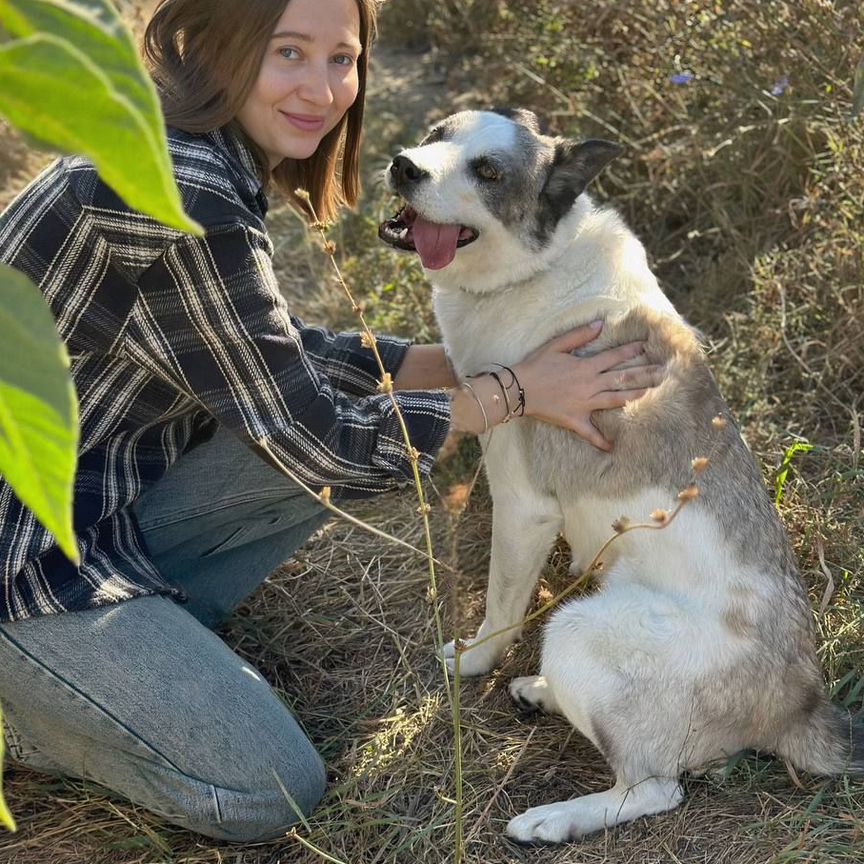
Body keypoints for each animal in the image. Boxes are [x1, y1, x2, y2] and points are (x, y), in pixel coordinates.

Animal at [380, 108, 864, 844]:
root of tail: (801, 705)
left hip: (577, 630)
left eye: (488, 172)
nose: (405, 166)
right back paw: (542, 693)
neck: (541, 267)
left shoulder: (522, 506)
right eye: (439, 133)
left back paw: (552, 818)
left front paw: (472, 663)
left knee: (654, 788)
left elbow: (499, 610)